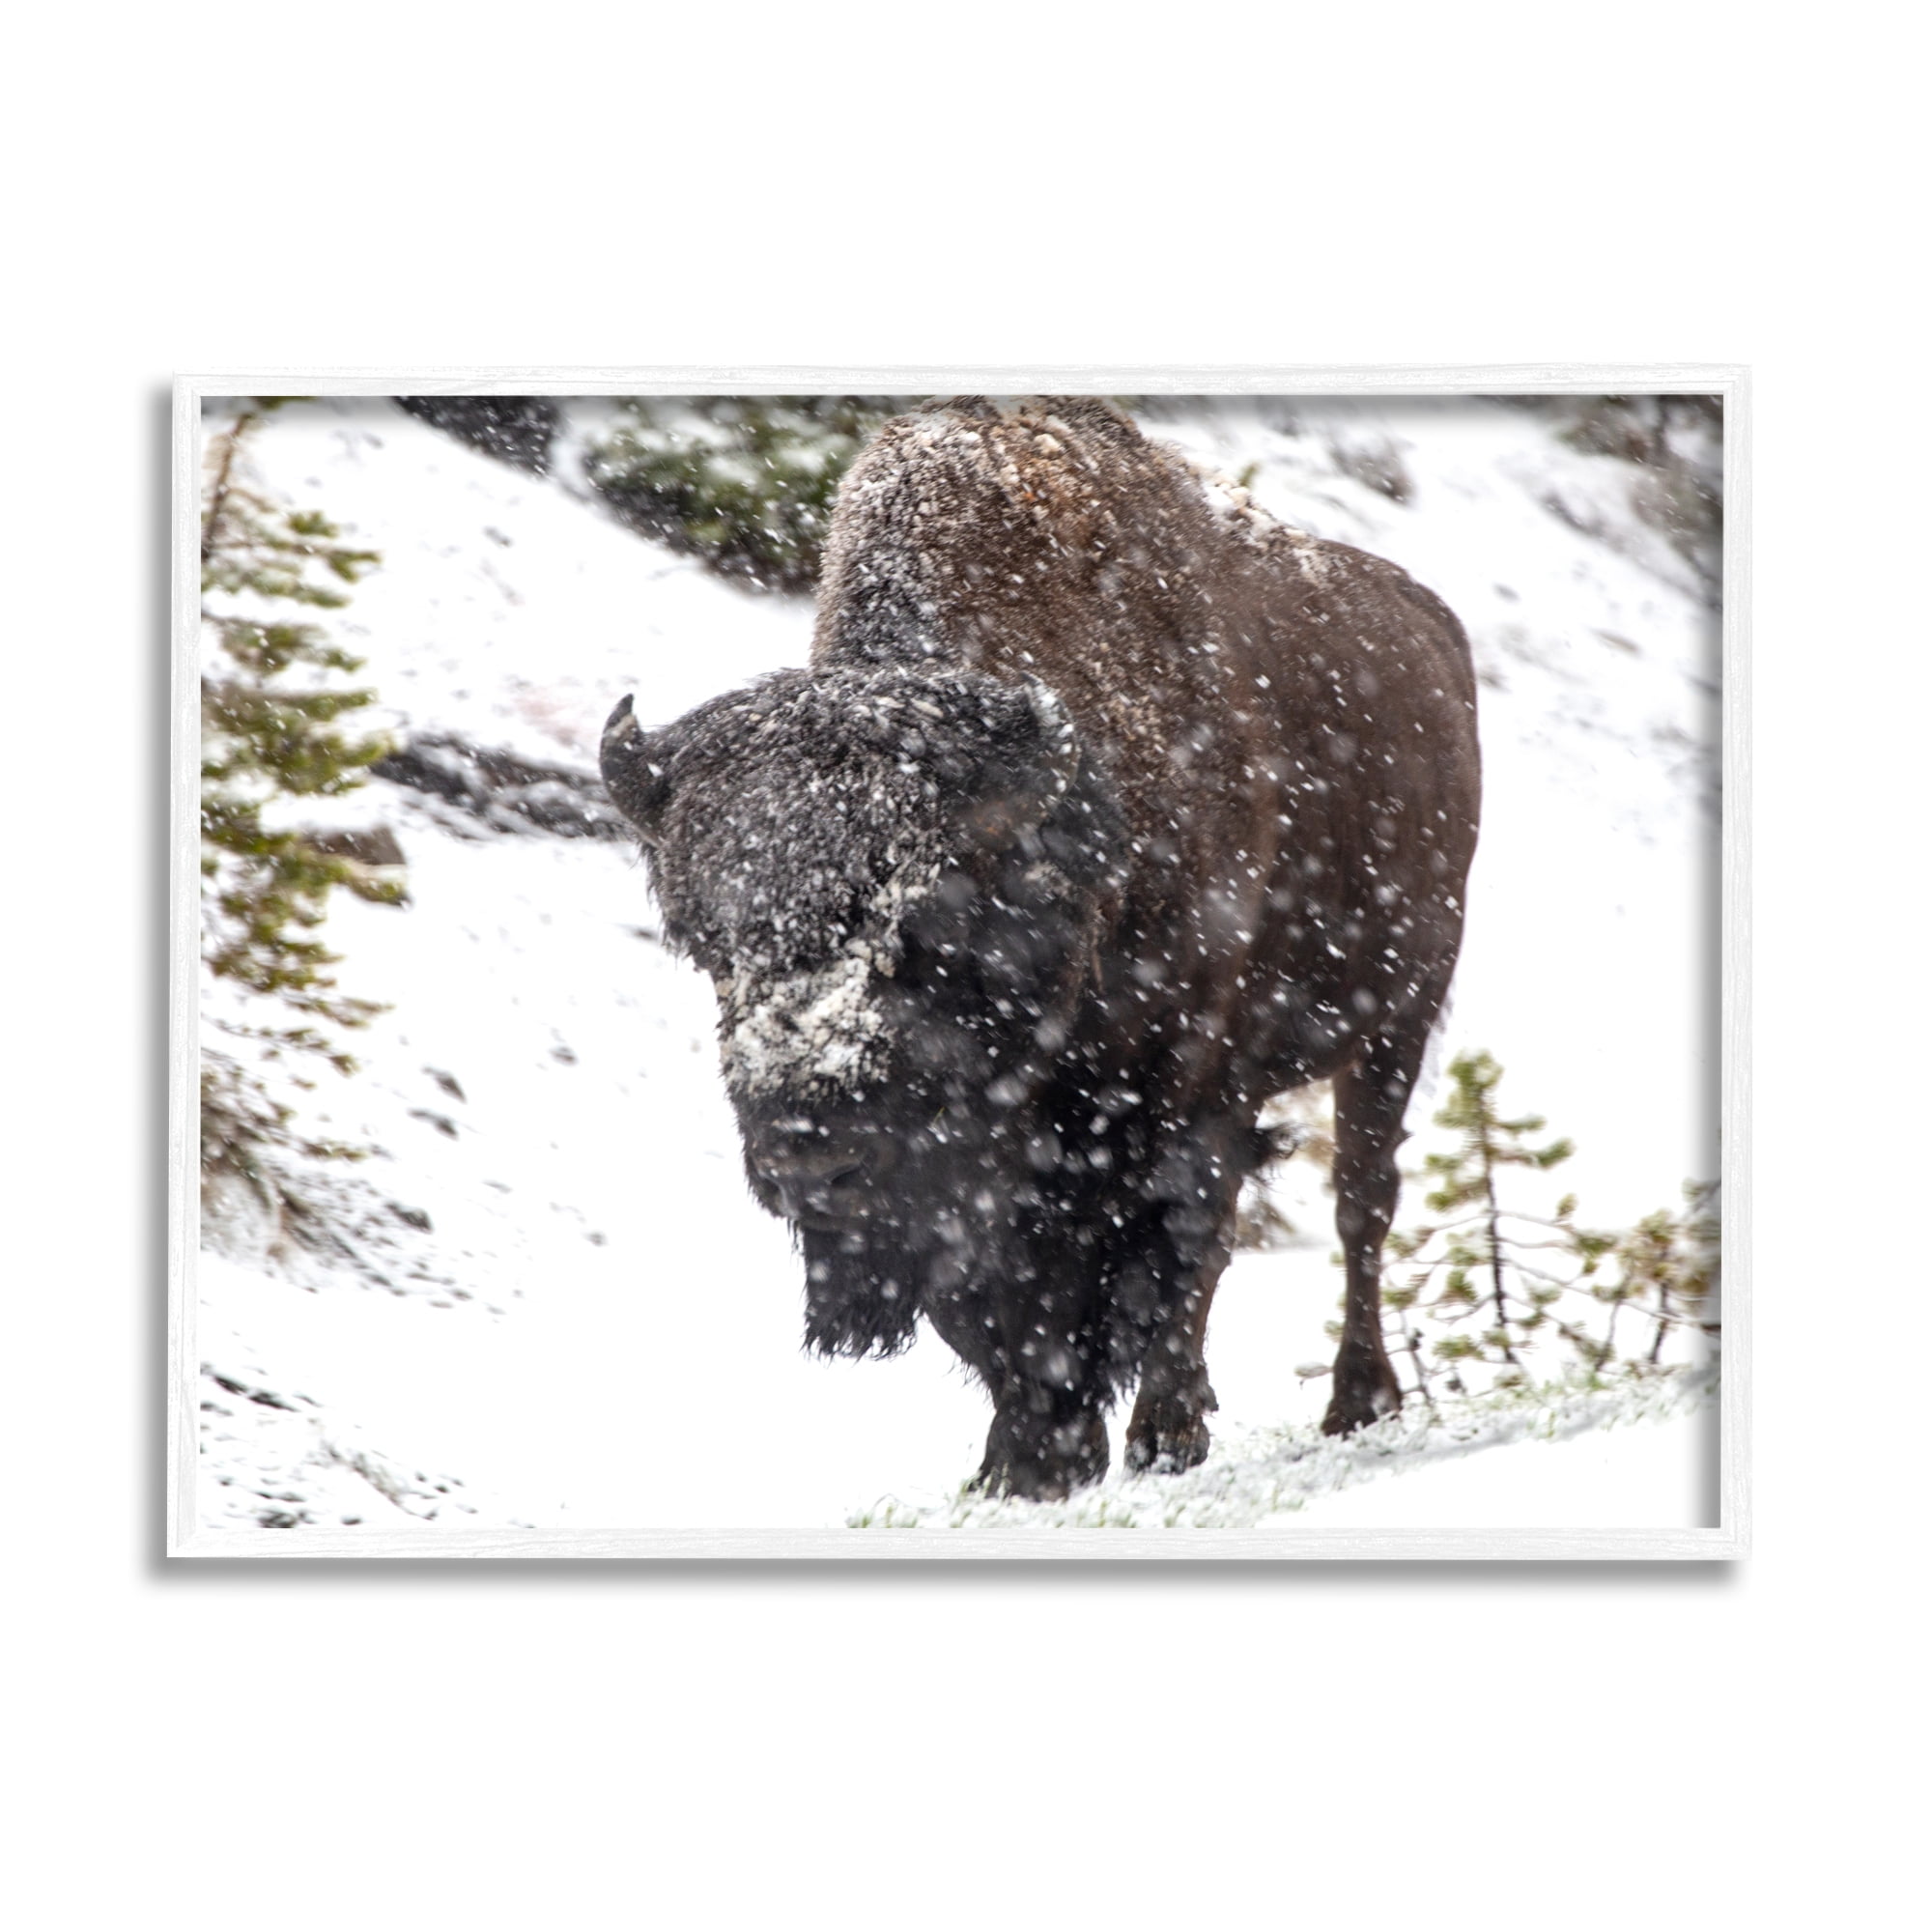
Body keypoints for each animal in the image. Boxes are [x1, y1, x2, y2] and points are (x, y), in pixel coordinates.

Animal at [600, 396, 1480, 1500]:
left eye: (924, 930)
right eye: (704, 943)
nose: (811, 1157)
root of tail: (1433, 631)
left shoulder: (1183, 1094)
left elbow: (1169, 1247)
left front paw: (1143, 1441)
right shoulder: (978, 1174)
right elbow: (991, 1304)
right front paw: (1022, 1461)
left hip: (1395, 1021)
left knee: (1355, 1206)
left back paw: (1345, 1405)